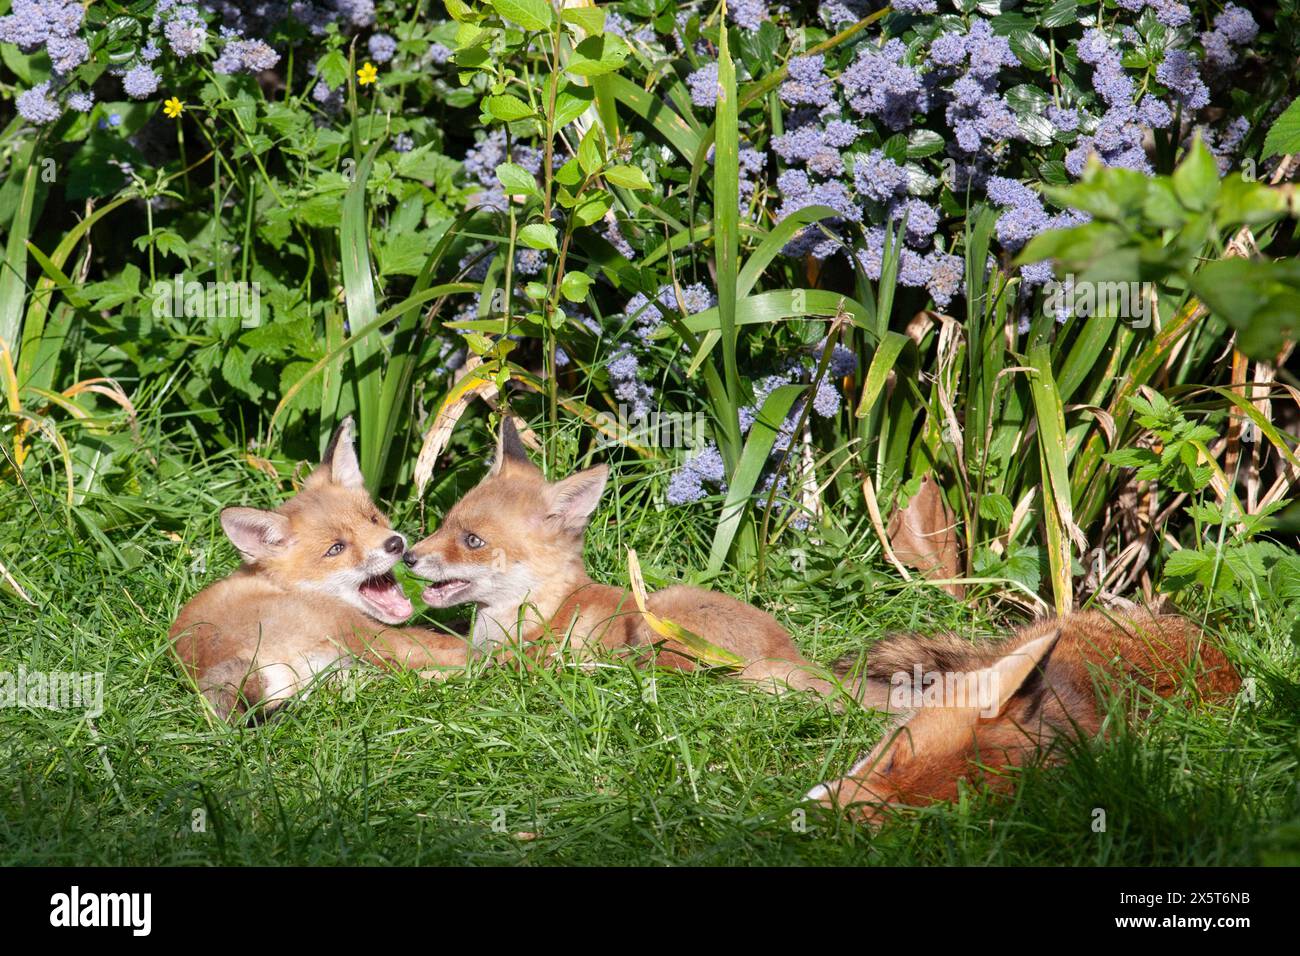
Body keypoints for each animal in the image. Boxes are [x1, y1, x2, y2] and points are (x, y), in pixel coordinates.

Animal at [402, 419, 836, 695]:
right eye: (445, 524)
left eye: (473, 541)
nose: (407, 557)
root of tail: (791, 655)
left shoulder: (525, 655)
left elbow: (476, 669)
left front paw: (423, 678)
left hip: (656, 616)